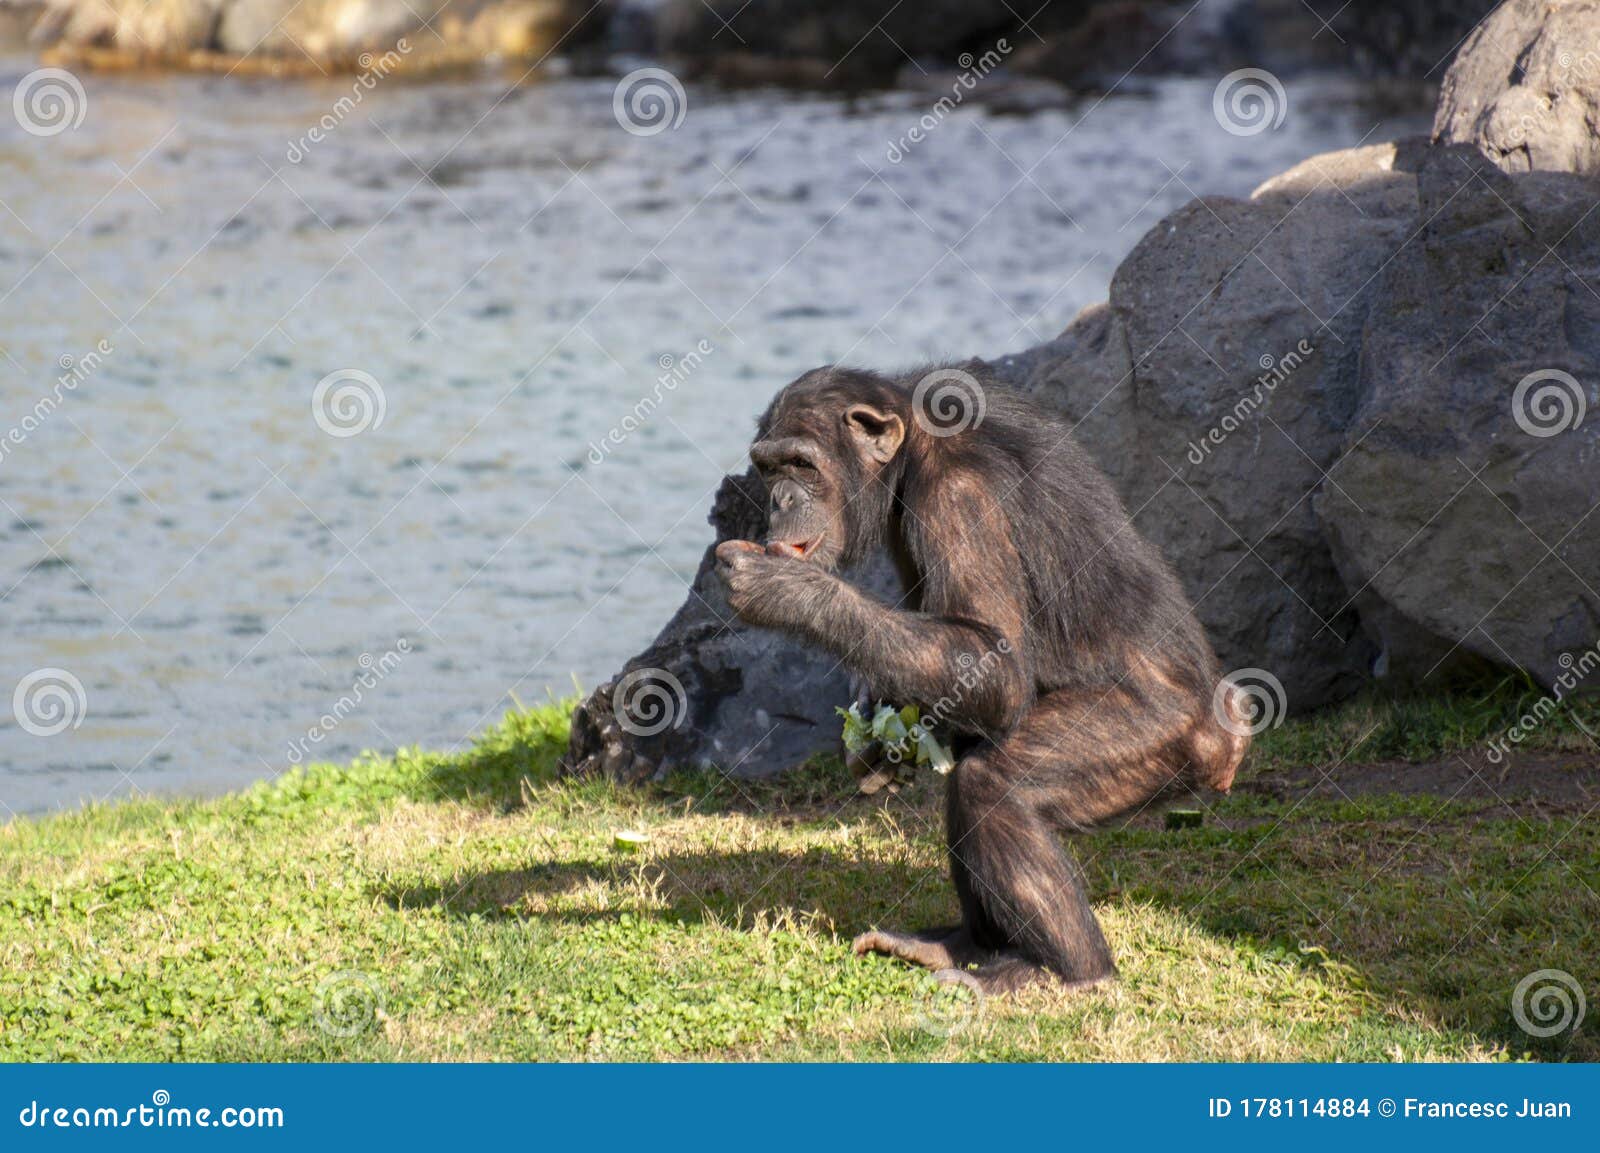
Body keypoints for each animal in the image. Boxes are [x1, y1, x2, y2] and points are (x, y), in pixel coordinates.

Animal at [714, 364, 1251, 992]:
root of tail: (1229, 735)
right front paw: (878, 737)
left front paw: (784, 589)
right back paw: (962, 945)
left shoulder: (960, 497)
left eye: (802, 464)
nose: (779, 498)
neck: (915, 447)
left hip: (1160, 739)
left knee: (992, 785)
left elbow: (994, 659)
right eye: (769, 466)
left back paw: (1065, 973)